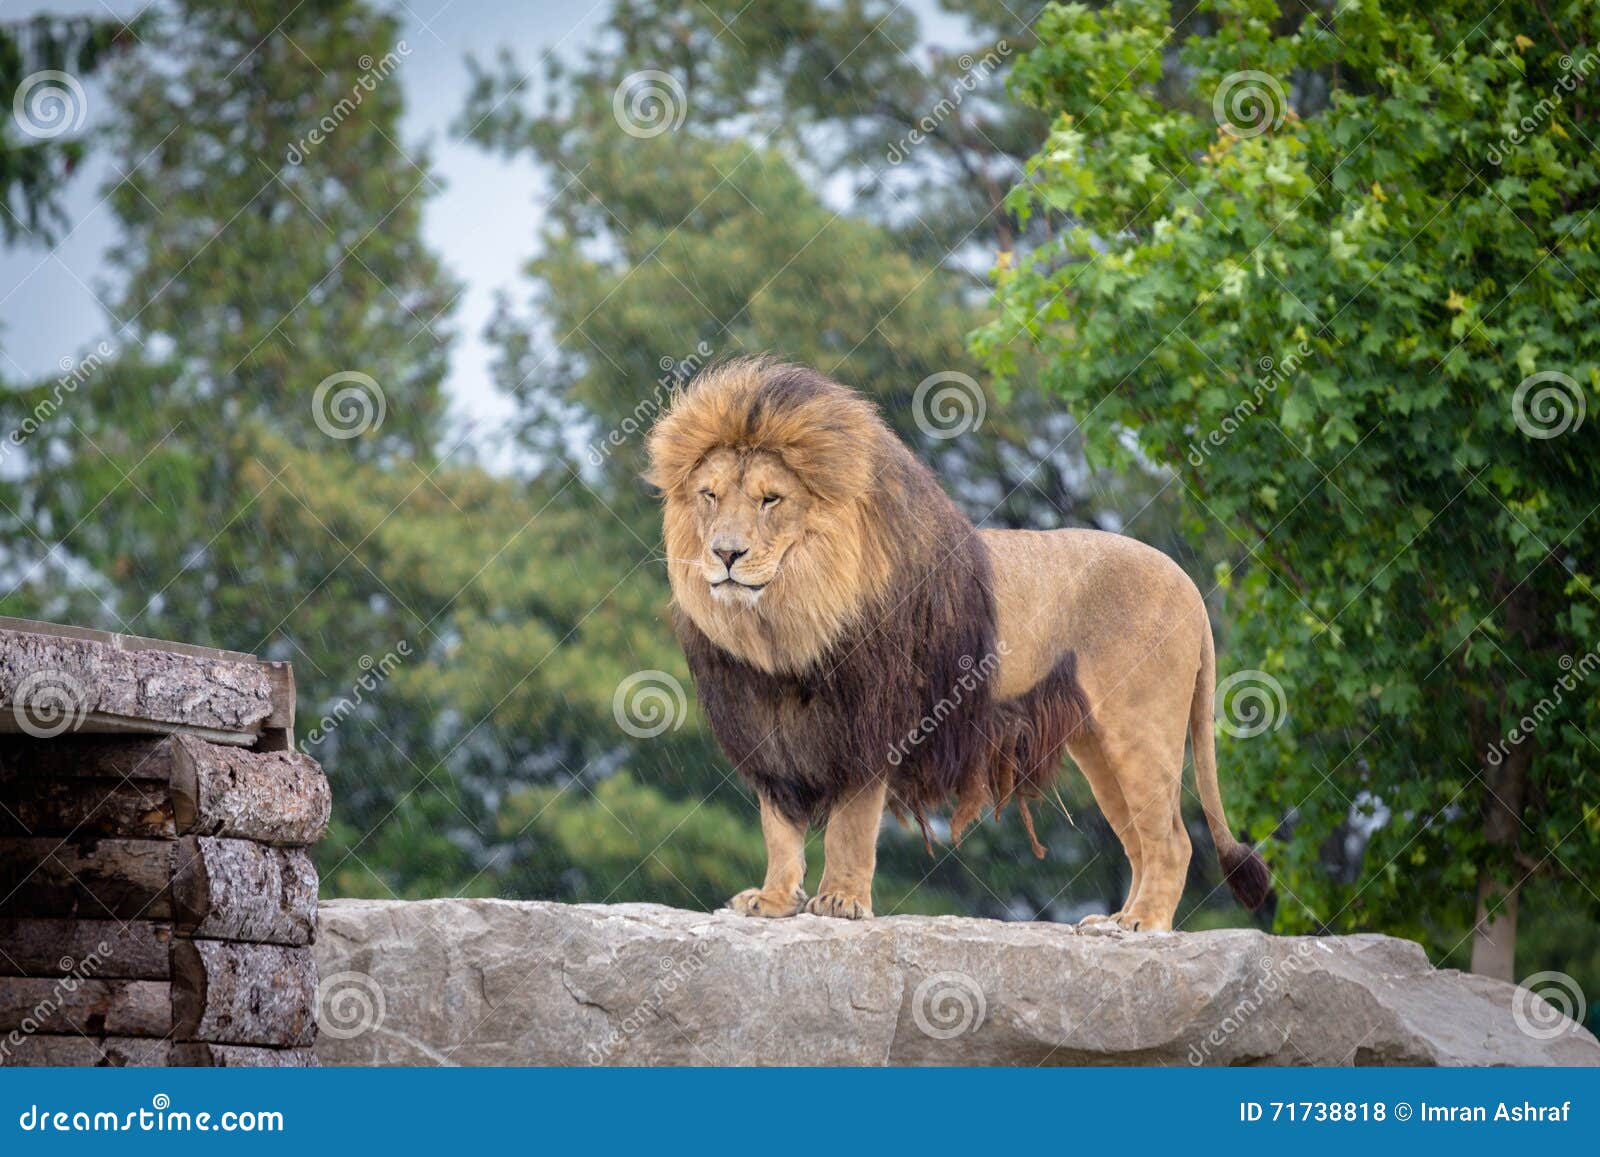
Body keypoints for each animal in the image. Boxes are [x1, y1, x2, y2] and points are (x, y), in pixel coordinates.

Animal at [645, 357, 1270, 931]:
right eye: (709, 495)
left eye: (770, 500)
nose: (725, 554)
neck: (781, 631)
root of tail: (1190, 585)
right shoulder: (767, 732)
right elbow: (779, 830)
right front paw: (774, 901)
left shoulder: (871, 722)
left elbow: (851, 826)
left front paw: (842, 901)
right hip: (1097, 742)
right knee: (1140, 840)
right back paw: (1114, 921)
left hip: (1140, 726)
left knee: (1172, 839)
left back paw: (1145, 925)